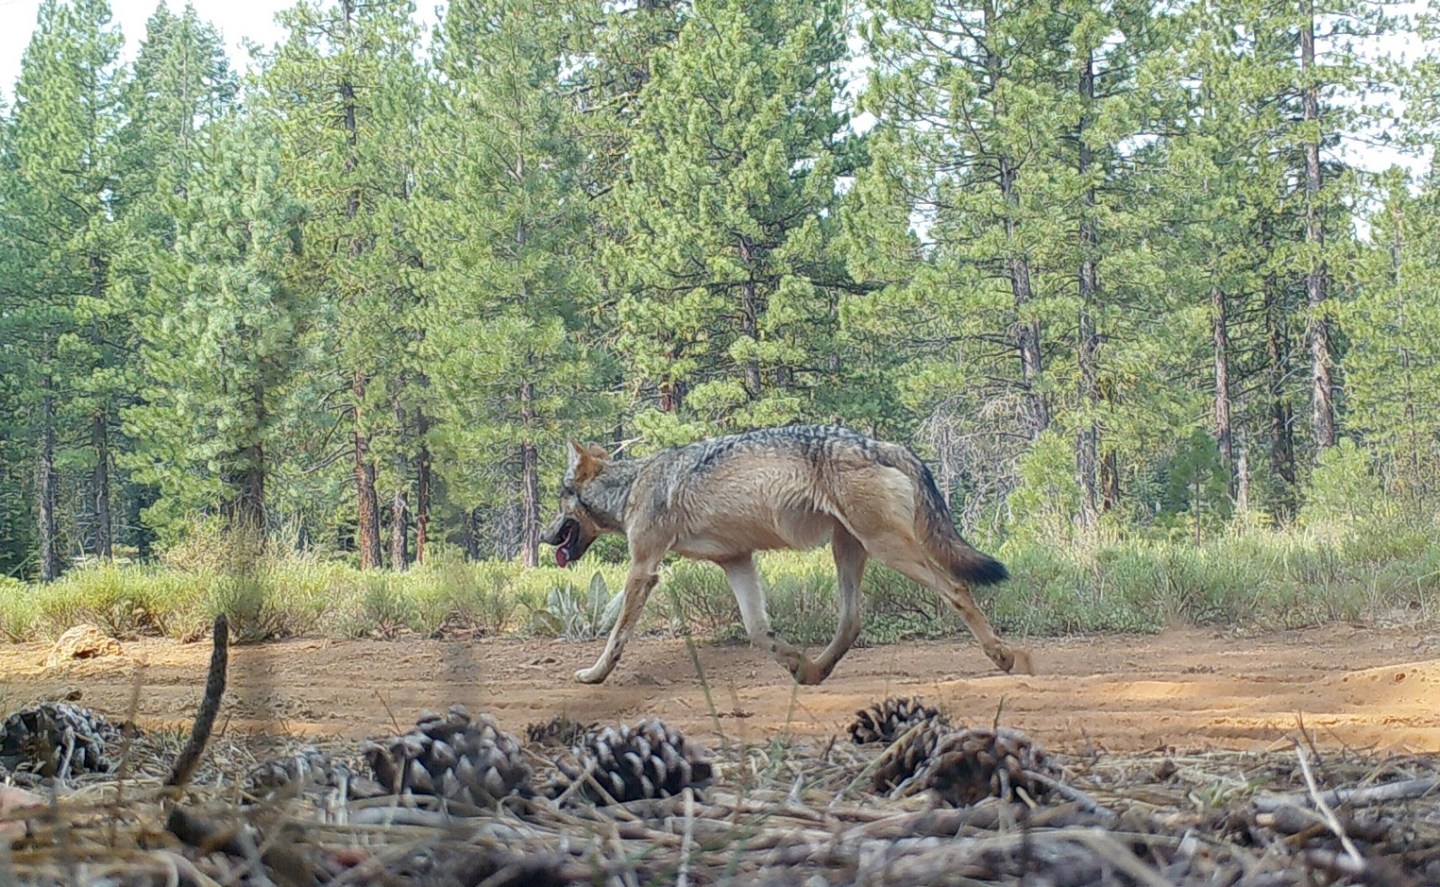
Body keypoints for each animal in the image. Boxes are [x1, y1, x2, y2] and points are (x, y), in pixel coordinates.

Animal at [540, 424, 1032, 686]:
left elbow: (615, 637)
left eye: (558, 501)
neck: (630, 487)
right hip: (849, 551)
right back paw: (812, 671)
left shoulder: (643, 569)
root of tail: (881, 443)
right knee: (851, 621)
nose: (544, 538)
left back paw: (1005, 657)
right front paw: (792, 658)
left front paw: (593, 675)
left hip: (889, 549)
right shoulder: (737, 561)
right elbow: (758, 633)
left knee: (957, 589)